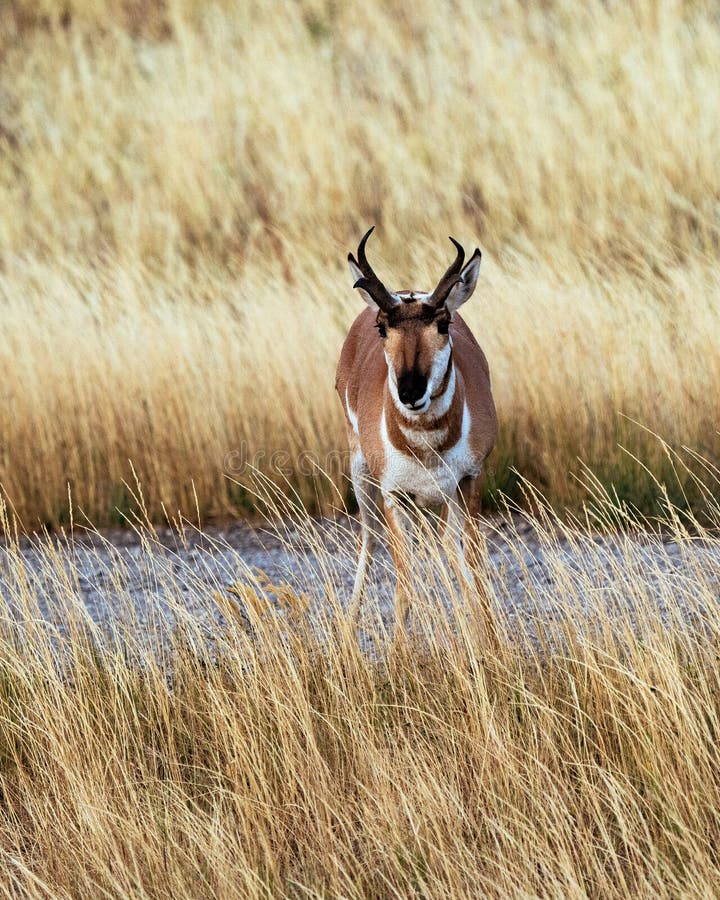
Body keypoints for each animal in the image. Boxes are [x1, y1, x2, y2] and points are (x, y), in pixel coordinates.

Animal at [336, 227, 499, 643]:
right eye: (383, 327)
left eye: (442, 324)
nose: (410, 391)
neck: (427, 443)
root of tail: (408, 289)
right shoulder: (393, 494)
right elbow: (405, 577)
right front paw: (398, 653)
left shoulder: (470, 480)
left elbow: (471, 560)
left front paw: (488, 642)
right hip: (362, 476)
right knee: (369, 539)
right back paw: (348, 634)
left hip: (442, 499)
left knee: (446, 546)